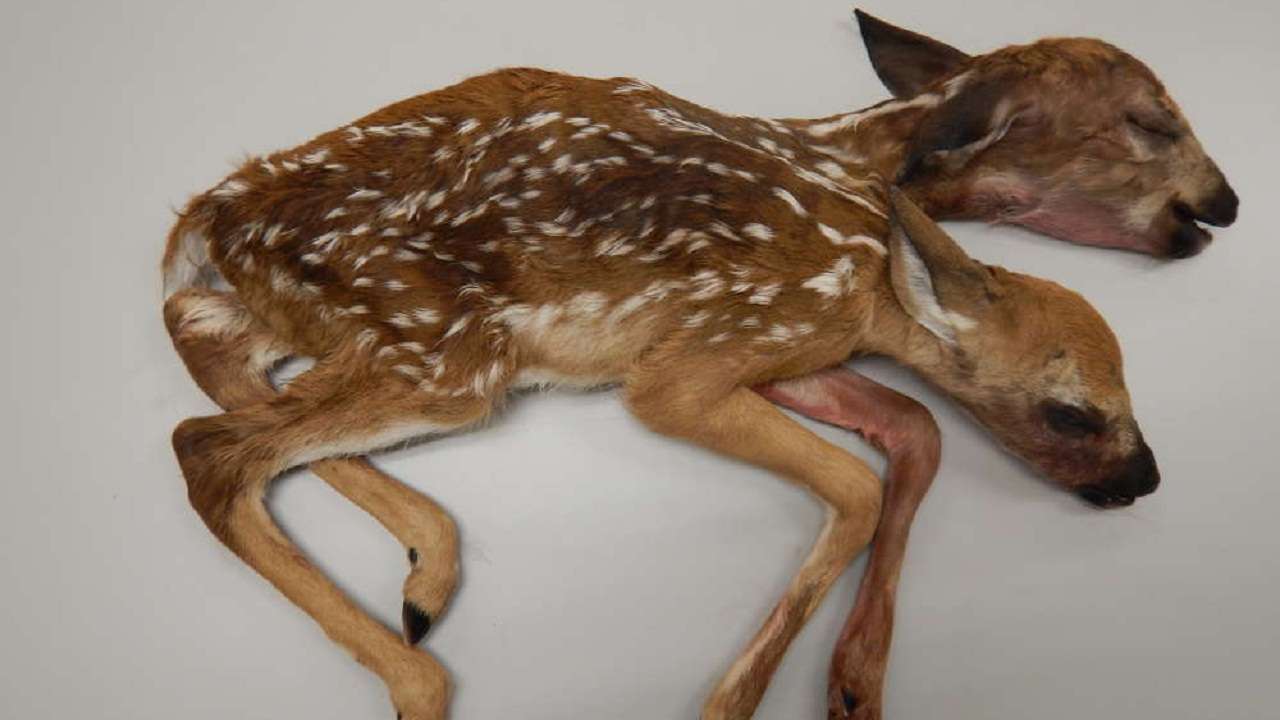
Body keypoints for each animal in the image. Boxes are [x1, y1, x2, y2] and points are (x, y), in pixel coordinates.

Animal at [162, 11, 1233, 720]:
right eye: (1151, 120)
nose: (1224, 202)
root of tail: (207, 218)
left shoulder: (773, 347)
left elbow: (915, 426)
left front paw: (856, 684)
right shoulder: (694, 362)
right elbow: (861, 476)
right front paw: (736, 703)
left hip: (334, 326)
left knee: (207, 345)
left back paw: (427, 572)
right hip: (445, 352)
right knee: (207, 444)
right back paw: (418, 673)